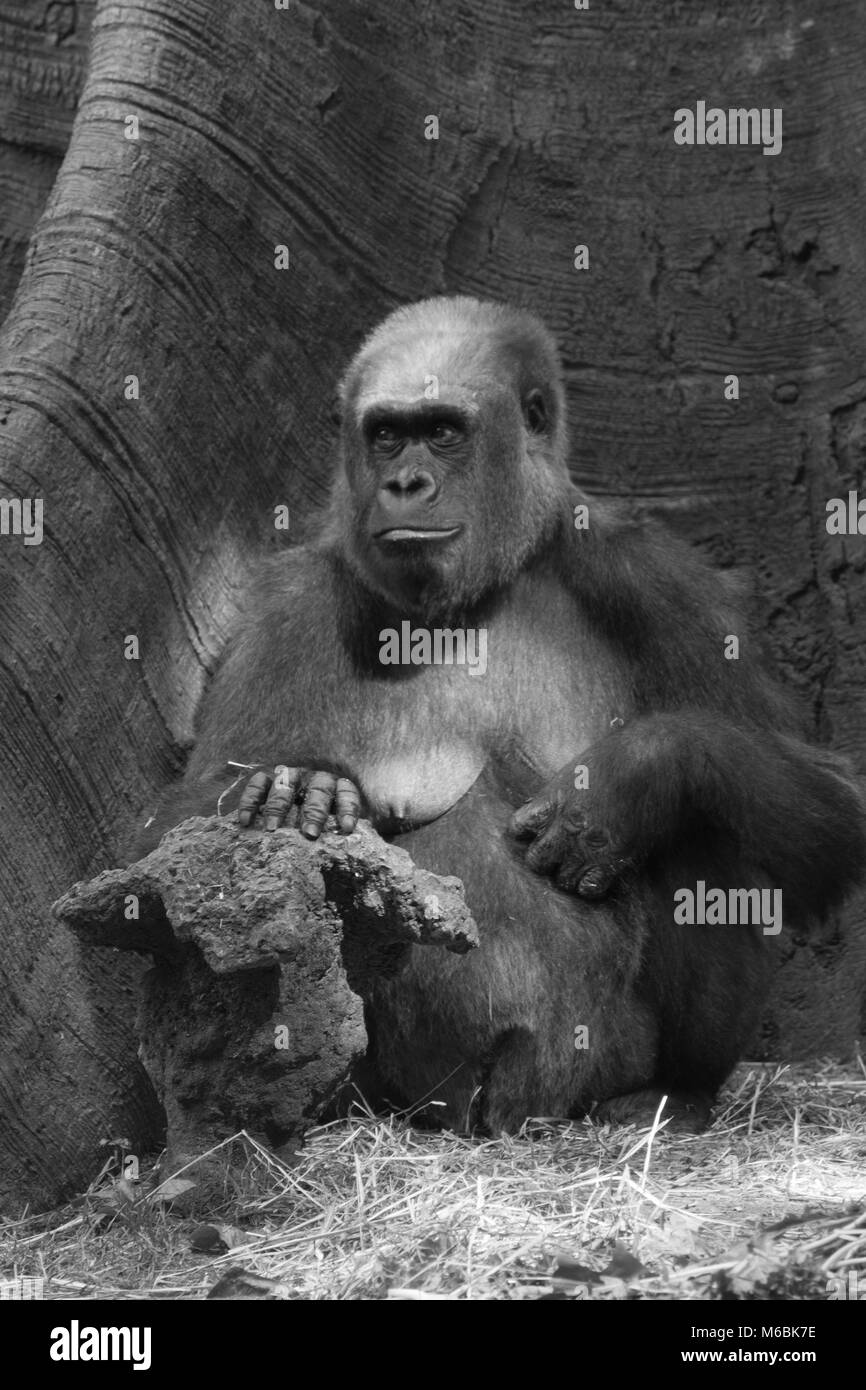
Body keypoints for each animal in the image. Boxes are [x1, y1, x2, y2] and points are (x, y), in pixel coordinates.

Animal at [137, 295, 866, 1133]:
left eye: (444, 431)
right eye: (385, 434)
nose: (405, 482)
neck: (495, 575)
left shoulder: (656, 575)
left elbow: (830, 809)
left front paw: (635, 774)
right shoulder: (289, 598)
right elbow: (167, 847)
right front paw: (299, 787)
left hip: (593, 1072)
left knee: (706, 818)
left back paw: (678, 1089)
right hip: (430, 1103)